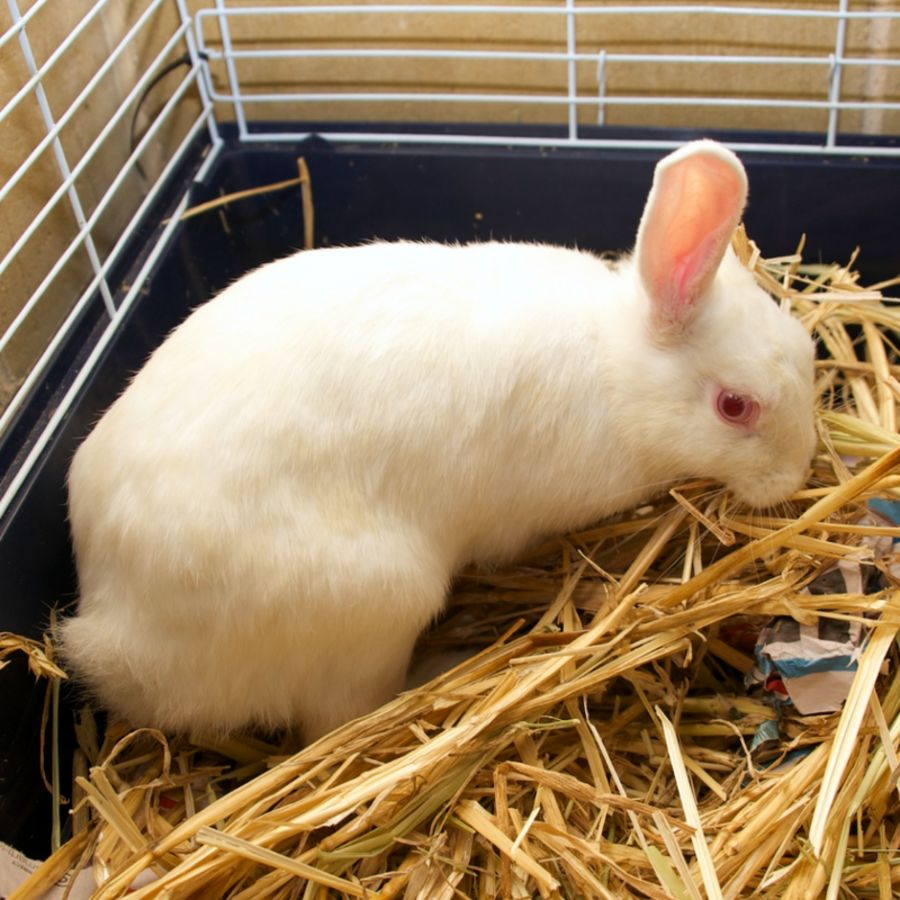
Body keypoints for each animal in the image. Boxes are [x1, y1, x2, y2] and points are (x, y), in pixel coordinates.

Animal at [59, 140, 816, 741]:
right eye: (735, 406)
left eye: (808, 349)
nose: (799, 474)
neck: (614, 362)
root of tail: (114, 640)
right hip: (379, 603)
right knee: (340, 718)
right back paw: (442, 667)